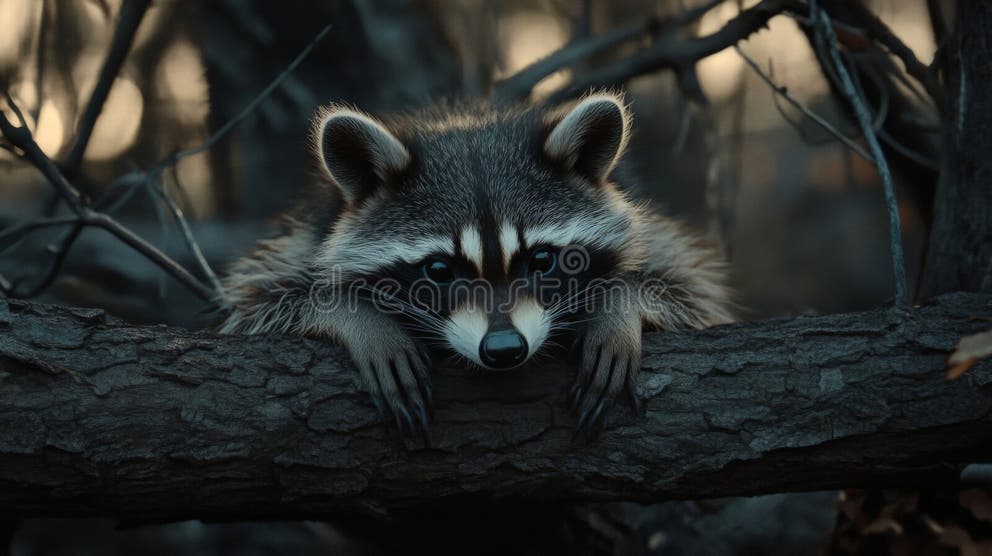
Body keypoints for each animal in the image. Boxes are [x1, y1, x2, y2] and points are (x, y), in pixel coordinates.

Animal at [219, 92, 733, 434]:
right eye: (439, 271)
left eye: (541, 260)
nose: (504, 349)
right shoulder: (304, 241)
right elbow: (262, 308)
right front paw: (355, 315)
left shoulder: (662, 244)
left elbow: (688, 293)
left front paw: (619, 303)